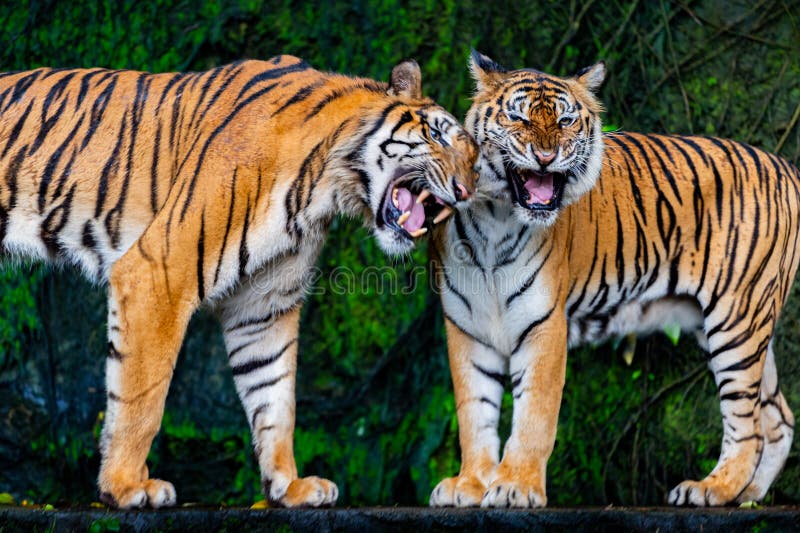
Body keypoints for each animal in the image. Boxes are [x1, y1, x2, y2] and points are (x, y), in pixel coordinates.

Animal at [0, 55, 478, 509]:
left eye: (475, 164)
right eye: (437, 136)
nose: (466, 192)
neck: (324, 184)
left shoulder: (264, 306)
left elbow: (274, 395)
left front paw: (290, 486)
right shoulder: (159, 271)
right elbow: (142, 397)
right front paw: (126, 486)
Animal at [429, 50, 797, 508]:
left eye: (566, 121)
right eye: (518, 117)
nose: (546, 156)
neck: (495, 223)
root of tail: (785, 166)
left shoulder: (543, 325)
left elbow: (534, 415)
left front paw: (515, 486)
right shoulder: (467, 329)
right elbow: (474, 413)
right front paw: (471, 484)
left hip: (736, 319)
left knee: (747, 426)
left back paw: (712, 489)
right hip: (742, 321)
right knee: (778, 416)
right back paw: (748, 495)